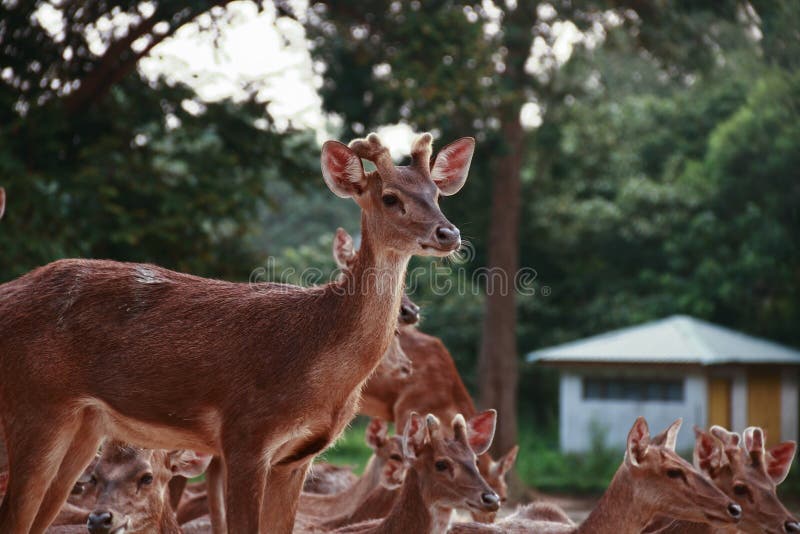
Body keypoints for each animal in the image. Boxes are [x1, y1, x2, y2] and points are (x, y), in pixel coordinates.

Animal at [0, 131, 475, 534]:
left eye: (436, 194)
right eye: (390, 197)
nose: (449, 232)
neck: (316, 354)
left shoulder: (296, 458)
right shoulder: (245, 435)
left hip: (84, 426)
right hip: (35, 405)